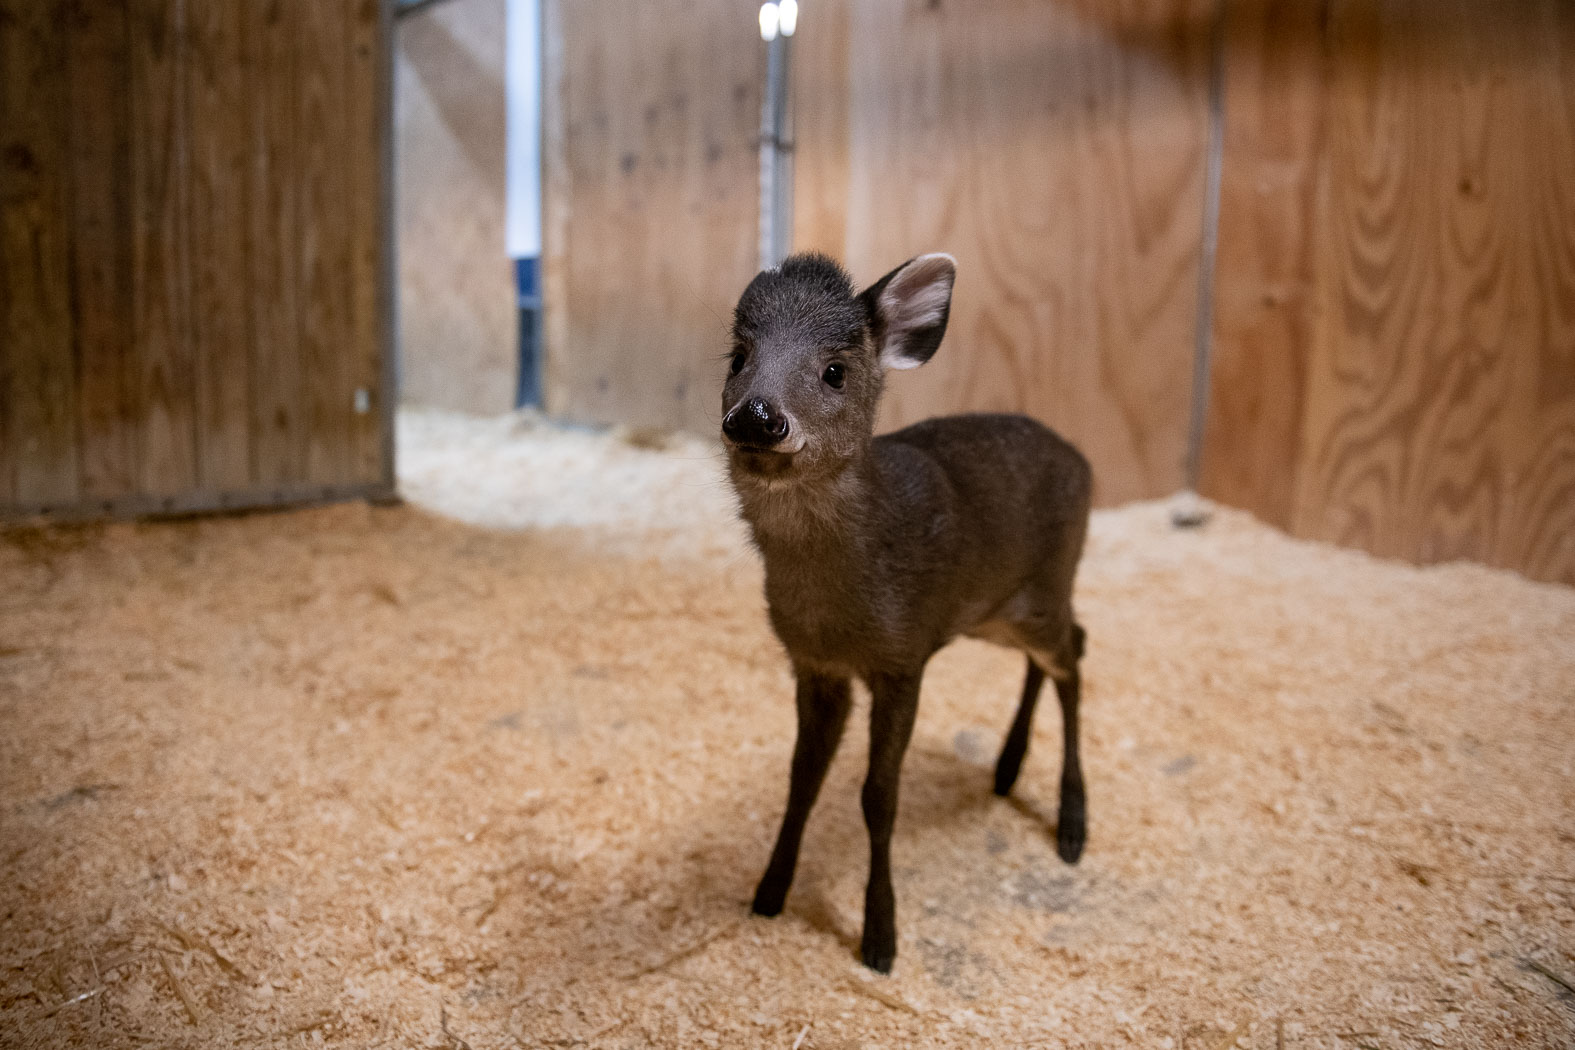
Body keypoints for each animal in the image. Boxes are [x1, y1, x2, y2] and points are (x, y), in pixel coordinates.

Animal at [720, 251, 1093, 973]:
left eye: (835, 369)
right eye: (738, 356)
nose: (756, 417)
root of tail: (1086, 462)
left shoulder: (903, 655)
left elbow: (878, 795)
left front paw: (880, 936)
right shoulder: (816, 664)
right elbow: (802, 777)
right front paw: (769, 892)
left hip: (1047, 586)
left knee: (1076, 655)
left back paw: (1071, 825)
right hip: (999, 614)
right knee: (1068, 647)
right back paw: (1006, 770)